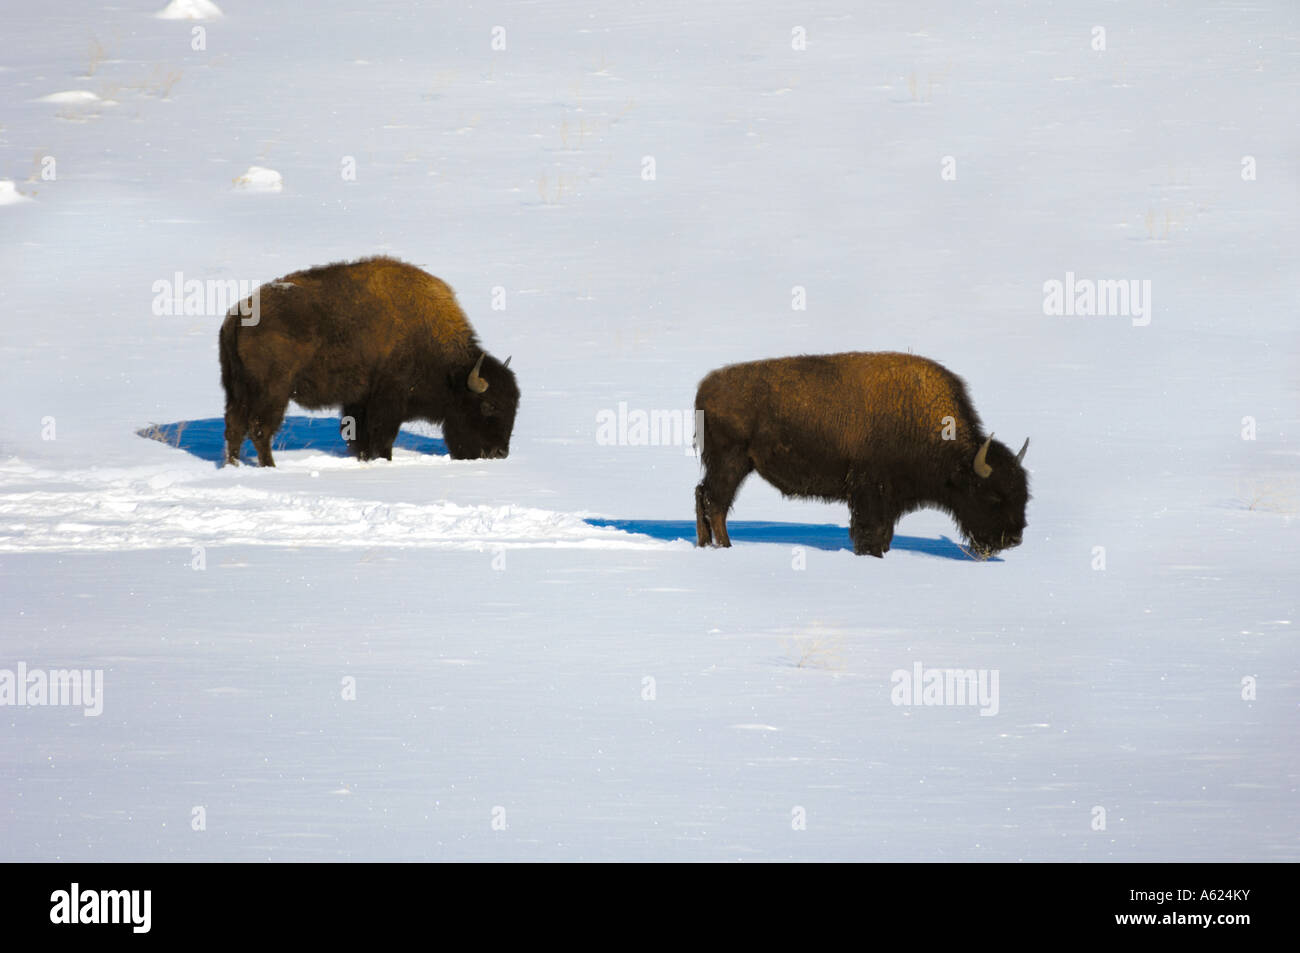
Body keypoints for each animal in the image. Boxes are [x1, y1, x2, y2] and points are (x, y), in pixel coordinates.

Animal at [219, 256, 518, 466]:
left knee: (235, 426)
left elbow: (361, 438)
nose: (500, 452)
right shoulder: (388, 401)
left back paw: (233, 465)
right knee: (259, 428)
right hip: (273, 392)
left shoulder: (359, 401)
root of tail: (239, 314)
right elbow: (382, 437)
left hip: (237, 389)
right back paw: (270, 467)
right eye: (488, 405)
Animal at [693, 351, 1029, 558]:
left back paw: (706, 544)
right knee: (715, 501)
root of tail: (706, 387)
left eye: (1024, 496)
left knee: (703, 495)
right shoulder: (871, 491)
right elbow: (872, 531)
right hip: (731, 462)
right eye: (993, 497)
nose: (1014, 539)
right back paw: (726, 546)